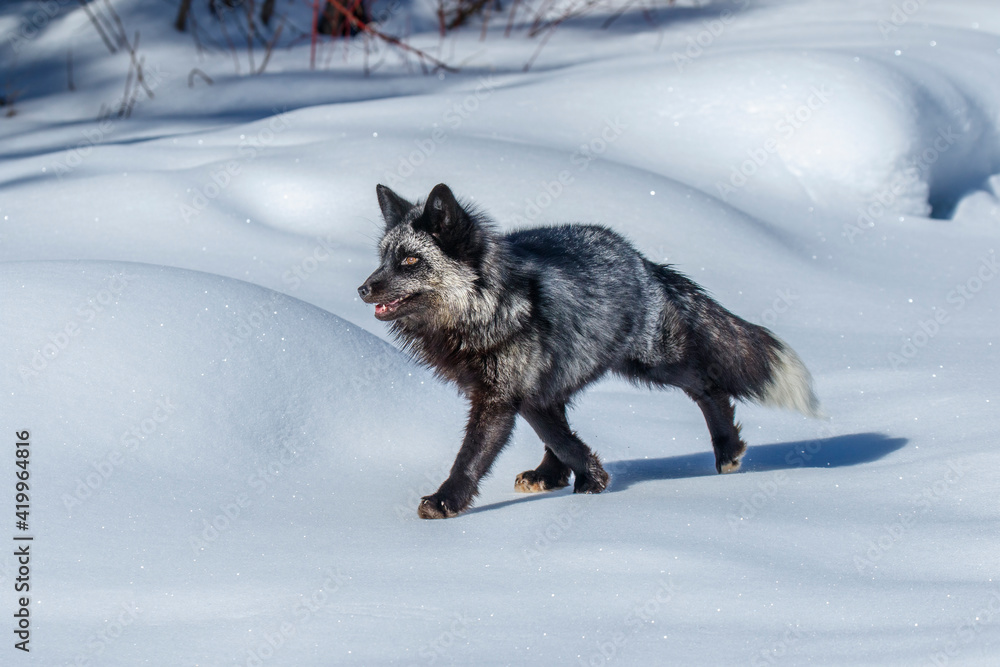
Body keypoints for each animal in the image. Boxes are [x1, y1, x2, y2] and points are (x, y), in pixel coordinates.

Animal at [358, 183, 822, 519]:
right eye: (383, 258)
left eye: (411, 261)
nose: (363, 288)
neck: (485, 312)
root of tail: (639, 258)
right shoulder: (518, 393)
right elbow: (561, 439)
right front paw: (590, 477)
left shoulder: (502, 397)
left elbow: (474, 456)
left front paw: (447, 501)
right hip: (564, 376)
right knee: (558, 426)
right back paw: (549, 475)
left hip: (652, 363)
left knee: (708, 387)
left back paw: (727, 450)